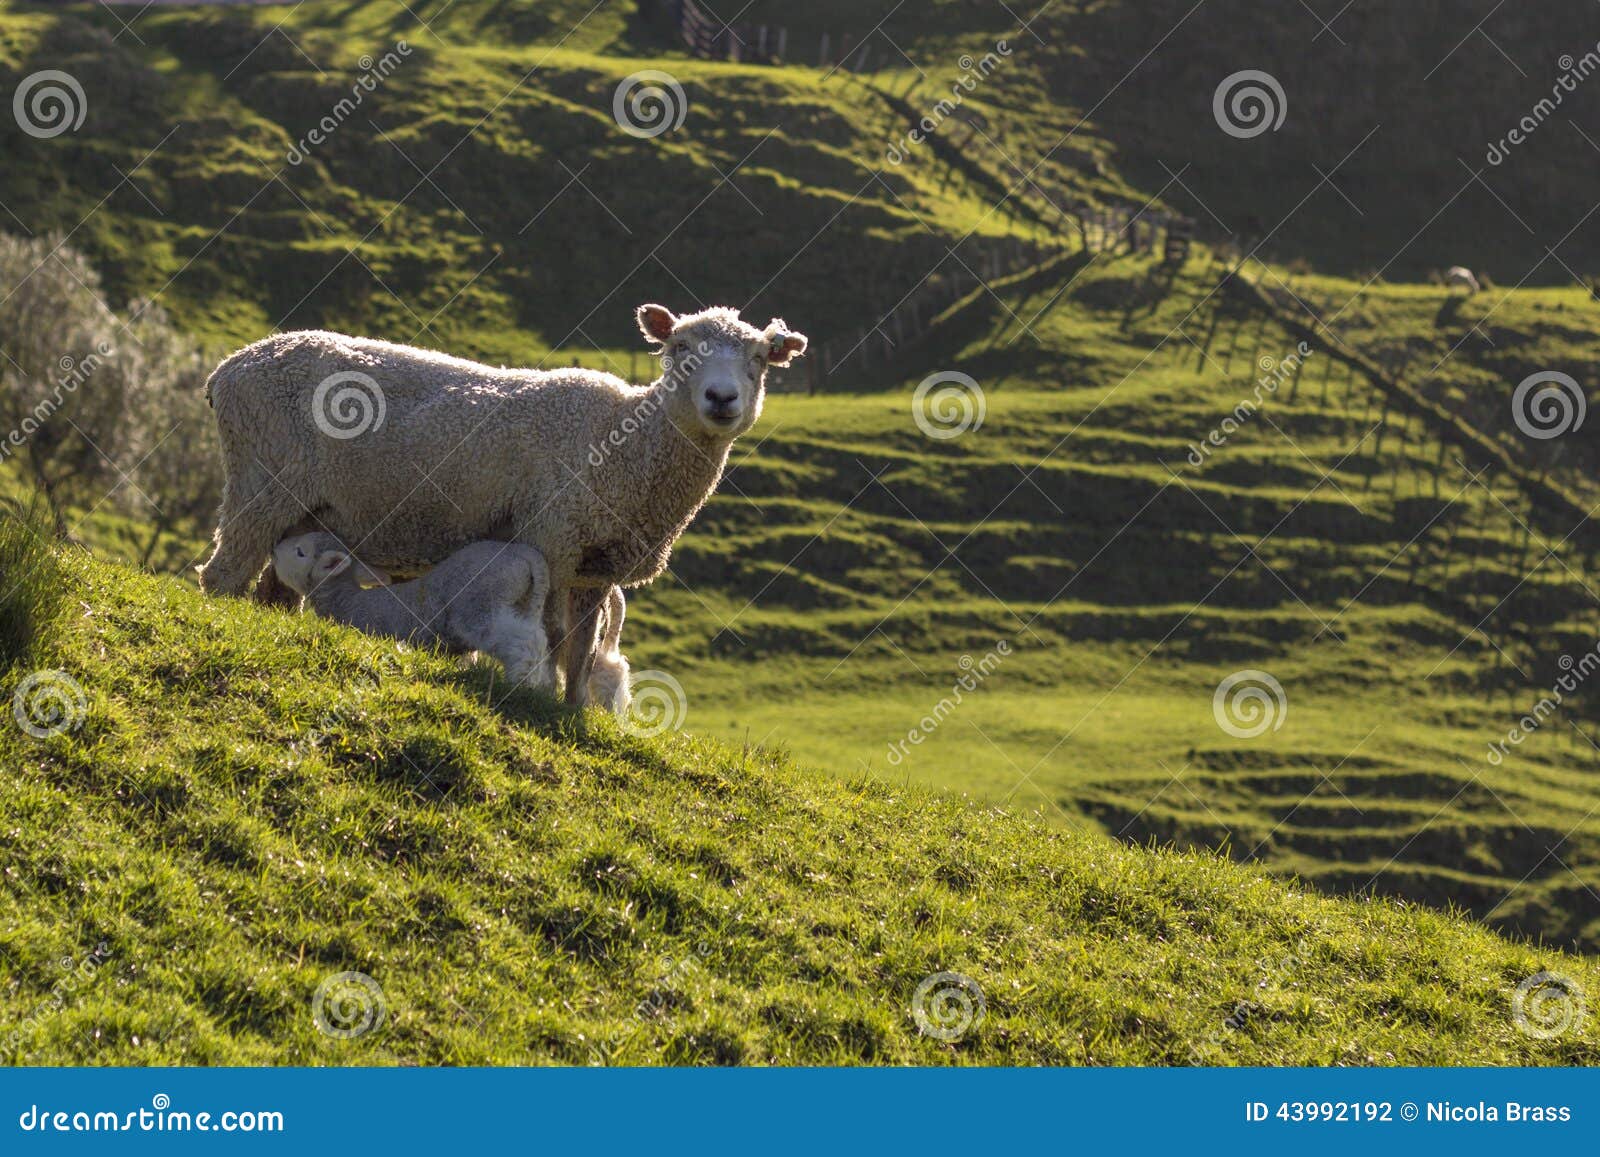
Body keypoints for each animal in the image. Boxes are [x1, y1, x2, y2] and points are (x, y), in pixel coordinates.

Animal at [271, 531, 553, 688]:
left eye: (300, 552)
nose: (275, 549)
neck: (345, 599)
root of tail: (525, 554)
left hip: (480, 605)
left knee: (524, 639)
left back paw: (521, 681)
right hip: (523, 600)